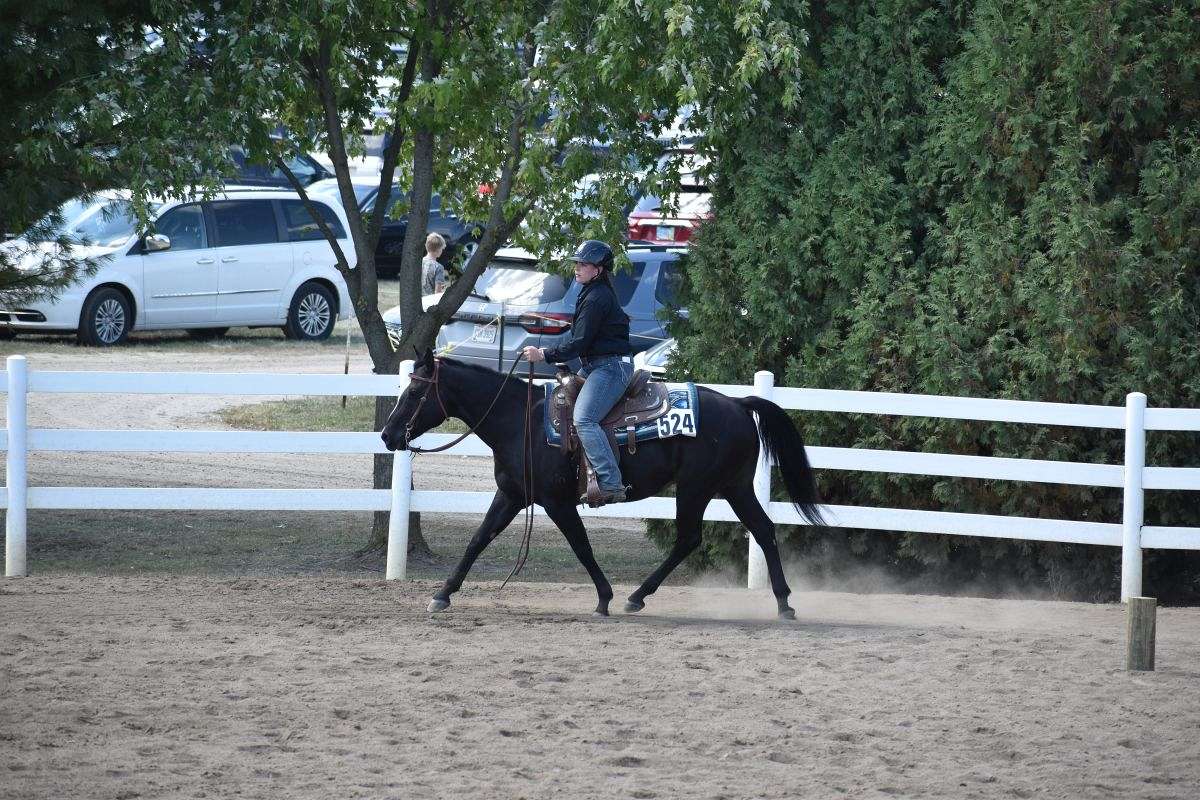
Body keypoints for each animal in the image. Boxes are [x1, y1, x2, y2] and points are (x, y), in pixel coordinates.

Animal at [380, 350, 824, 619]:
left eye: (416, 390)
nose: (387, 435)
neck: (520, 421)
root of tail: (738, 403)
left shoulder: (557, 502)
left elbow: (581, 546)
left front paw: (604, 597)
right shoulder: (512, 495)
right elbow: (478, 539)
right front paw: (443, 593)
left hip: (695, 488)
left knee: (689, 539)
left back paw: (635, 596)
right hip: (735, 487)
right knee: (763, 530)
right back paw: (783, 602)